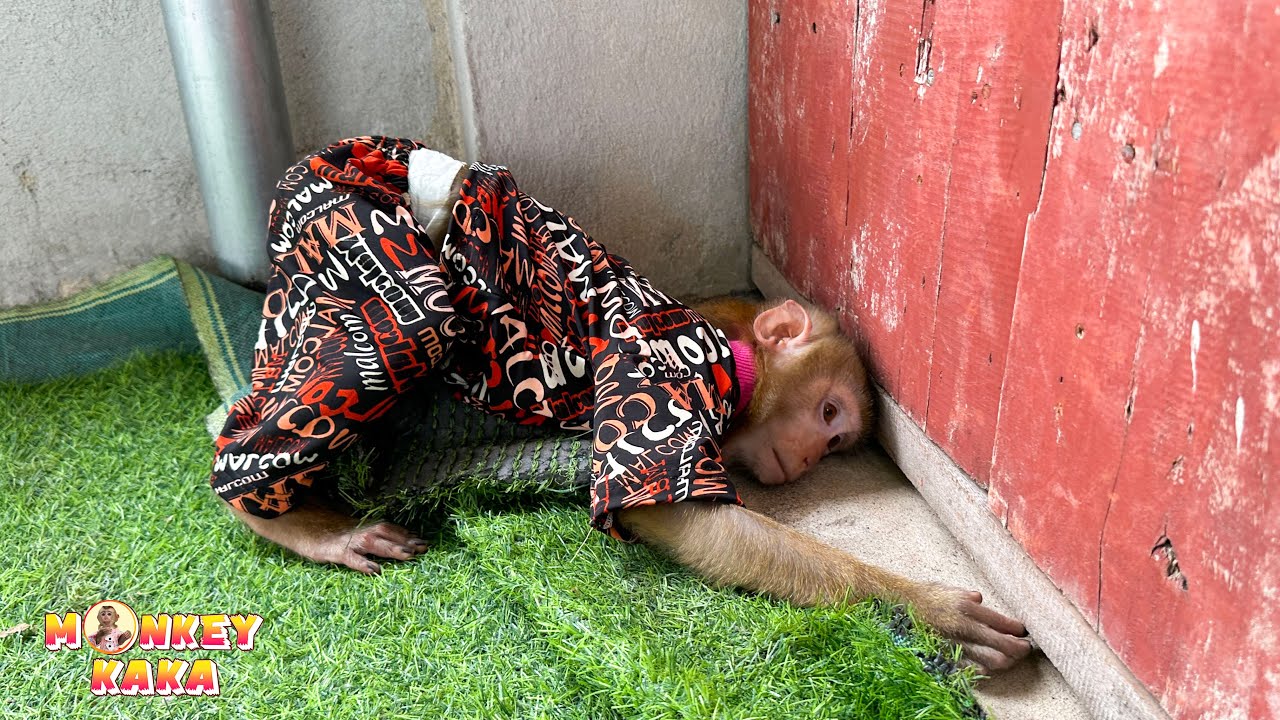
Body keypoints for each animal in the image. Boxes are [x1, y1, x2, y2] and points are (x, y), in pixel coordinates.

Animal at [211, 137, 1032, 673]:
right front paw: (930, 610)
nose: (805, 462)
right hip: (341, 228)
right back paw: (275, 507)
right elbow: (681, 514)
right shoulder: (662, 372)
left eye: (834, 443)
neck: (731, 350)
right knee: (413, 325)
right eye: (829, 418)